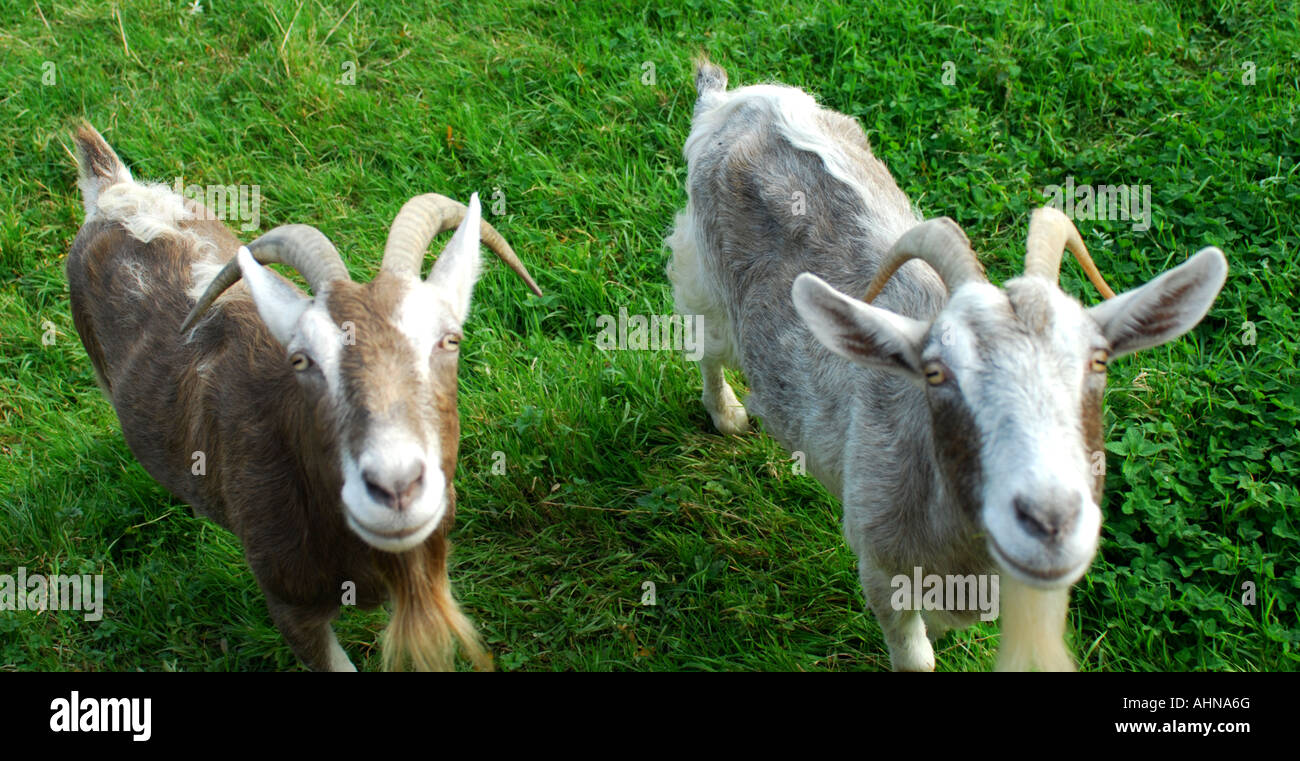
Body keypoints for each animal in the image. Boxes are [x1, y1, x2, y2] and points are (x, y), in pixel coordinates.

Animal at [667, 60, 1227, 671]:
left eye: (1097, 362)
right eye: (937, 372)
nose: (1049, 521)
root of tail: (733, 101)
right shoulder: (881, 565)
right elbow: (916, 657)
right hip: (703, 279)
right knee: (706, 347)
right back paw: (727, 415)